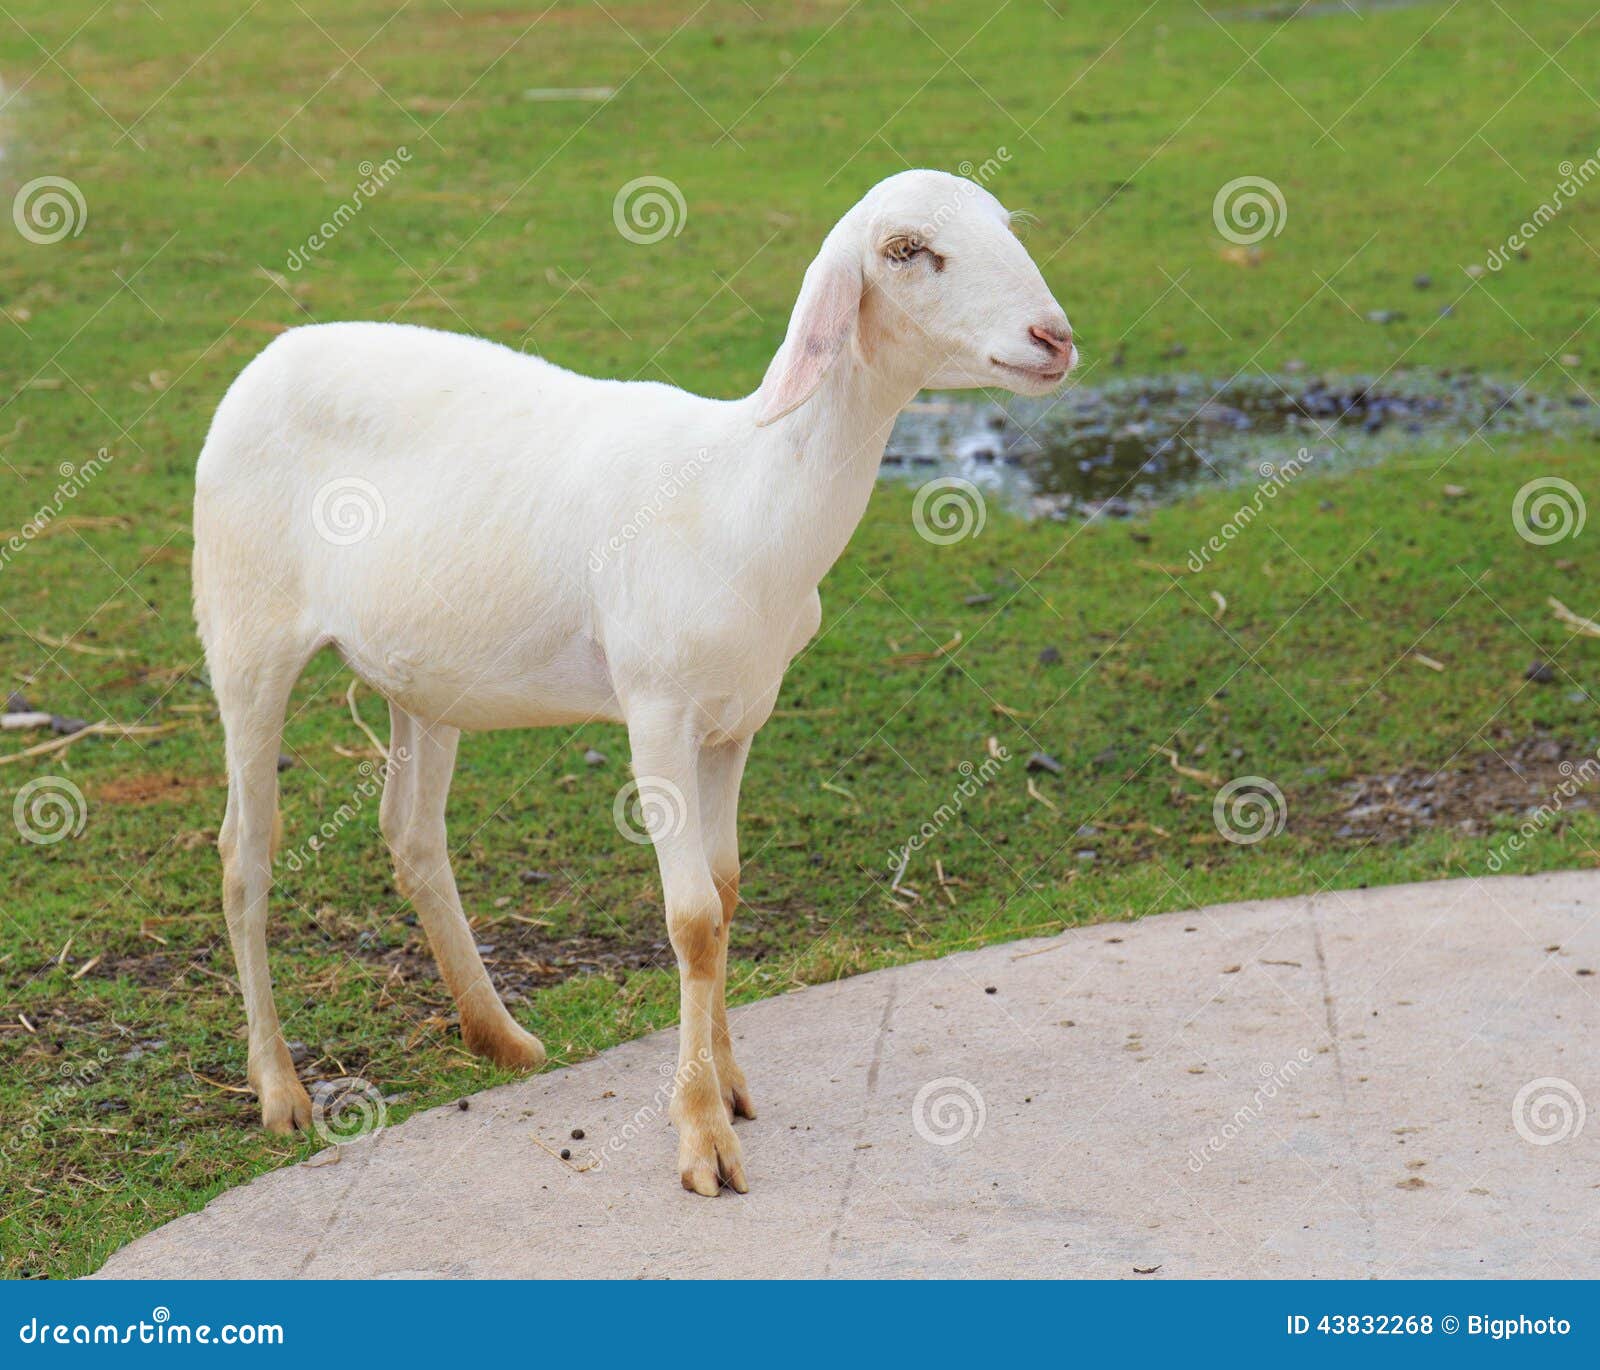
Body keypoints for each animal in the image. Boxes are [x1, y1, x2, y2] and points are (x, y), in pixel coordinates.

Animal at [193, 168, 1075, 1197]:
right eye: (905, 250)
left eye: (1006, 224)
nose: (1055, 338)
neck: (751, 491)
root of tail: (269, 357)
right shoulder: (657, 710)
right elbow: (690, 919)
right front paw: (702, 1139)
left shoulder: (740, 718)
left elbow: (726, 896)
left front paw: (729, 1085)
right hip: (245, 634)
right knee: (245, 850)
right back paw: (280, 1090)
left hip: (423, 674)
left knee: (410, 836)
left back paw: (500, 1036)